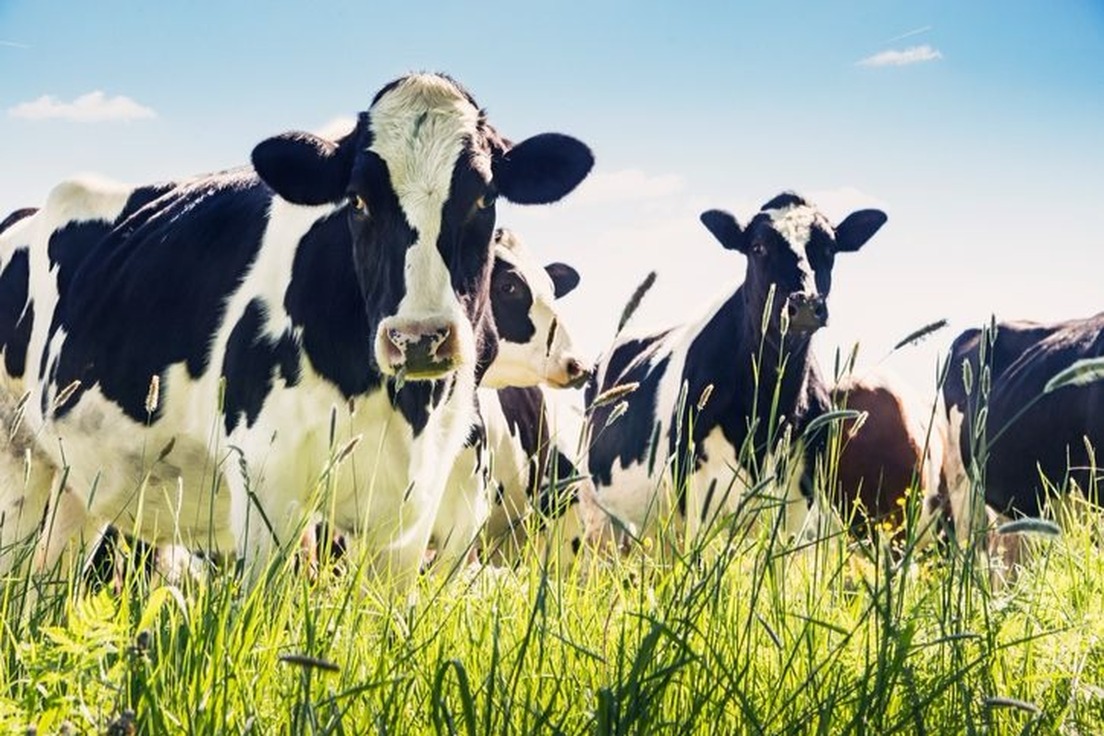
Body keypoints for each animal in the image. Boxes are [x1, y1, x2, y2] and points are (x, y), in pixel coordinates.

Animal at [0, 72, 594, 590]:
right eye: (358, 200)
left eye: (483, 198)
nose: (419, 339)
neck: (405, 410)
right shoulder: (268, 484)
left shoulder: (419, 516)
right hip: (16, 463)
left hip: (79, 480)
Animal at [582, 193, 887, 551]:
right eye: (758, 247)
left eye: (829, 249)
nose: (805, 304)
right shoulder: (696, 492)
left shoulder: (801, 495)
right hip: (599, 514)